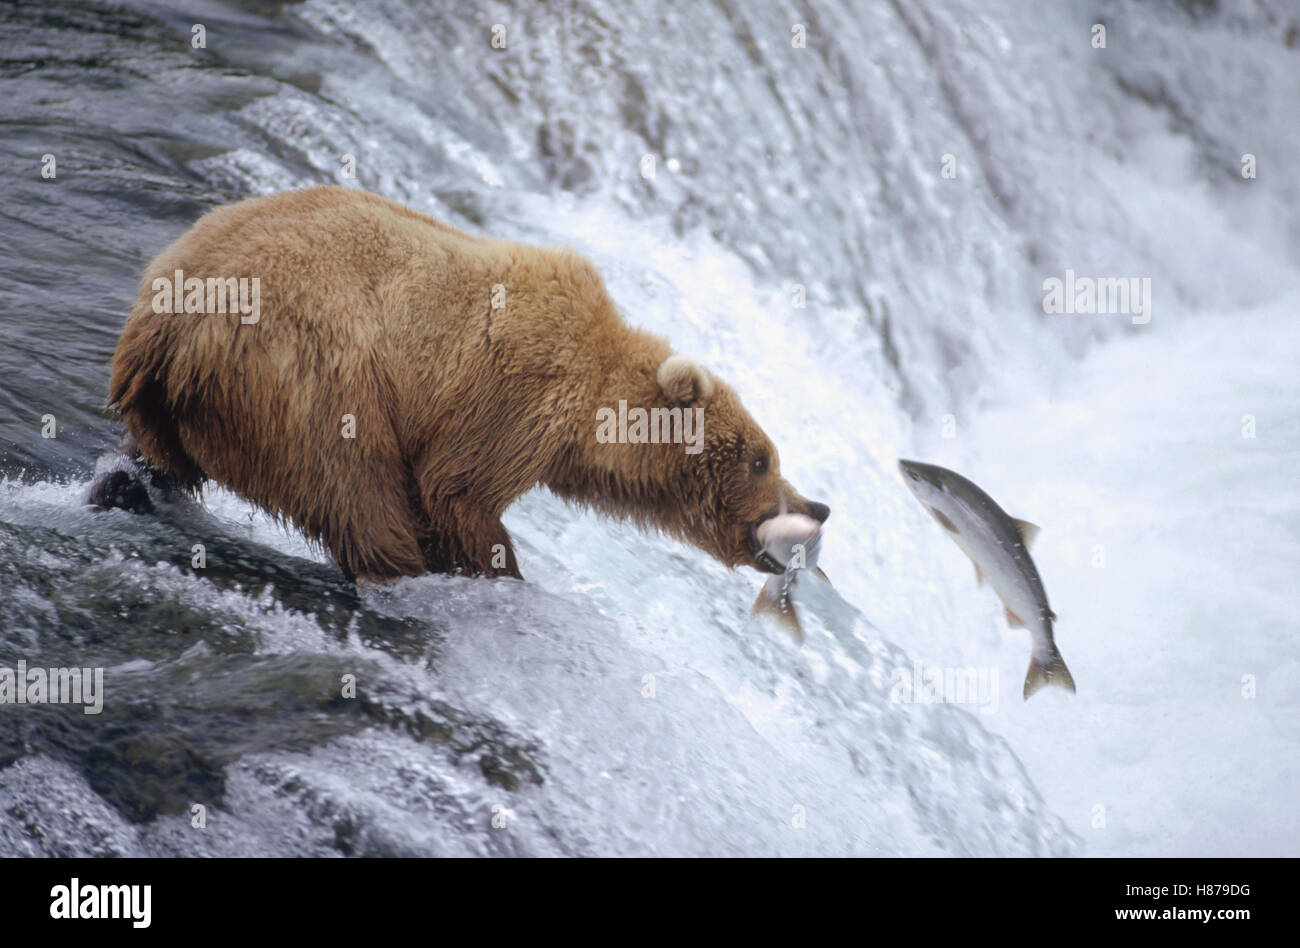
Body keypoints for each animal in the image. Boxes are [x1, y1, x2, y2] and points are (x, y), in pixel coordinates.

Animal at [101, 186, 829, 582]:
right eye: (760, 458)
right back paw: (398, 566)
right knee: (357, 486)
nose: (817, 506)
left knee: (156, 458)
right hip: (311, 373)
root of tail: (164, 318)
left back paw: (122, 487)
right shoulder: (512, 395)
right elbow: (456, 491)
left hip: (181, 403)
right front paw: (496, 566)